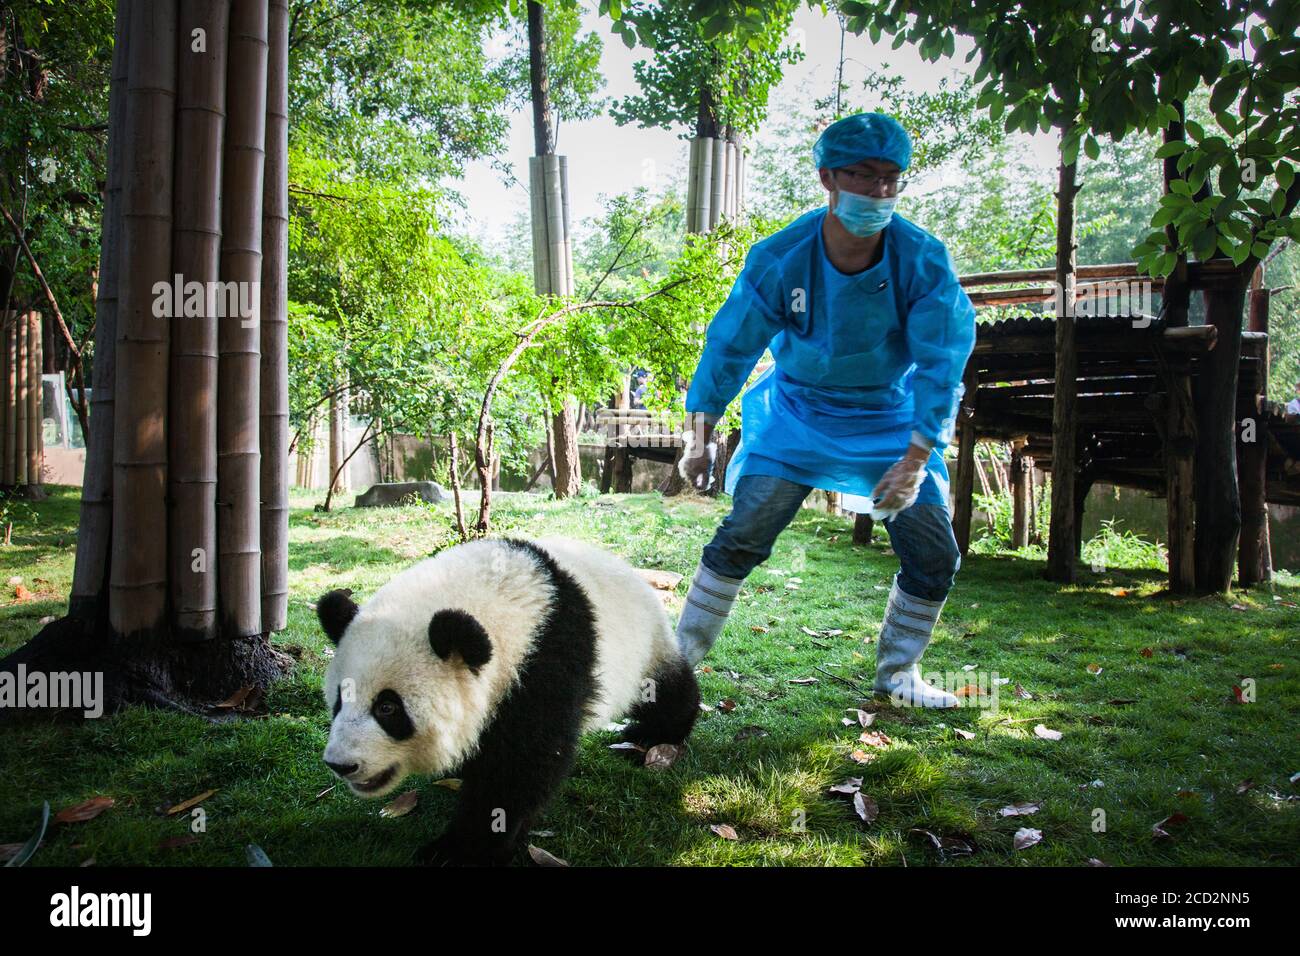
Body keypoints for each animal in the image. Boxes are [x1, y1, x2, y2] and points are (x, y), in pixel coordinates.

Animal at [315, 535, 700, 866]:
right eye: (338, 701)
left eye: (387, 708)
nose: (341, 764)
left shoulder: (543, 665)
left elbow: (518, 768)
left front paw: (459, 850)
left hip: (643, 647)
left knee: (664, 689)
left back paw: (654, 733)